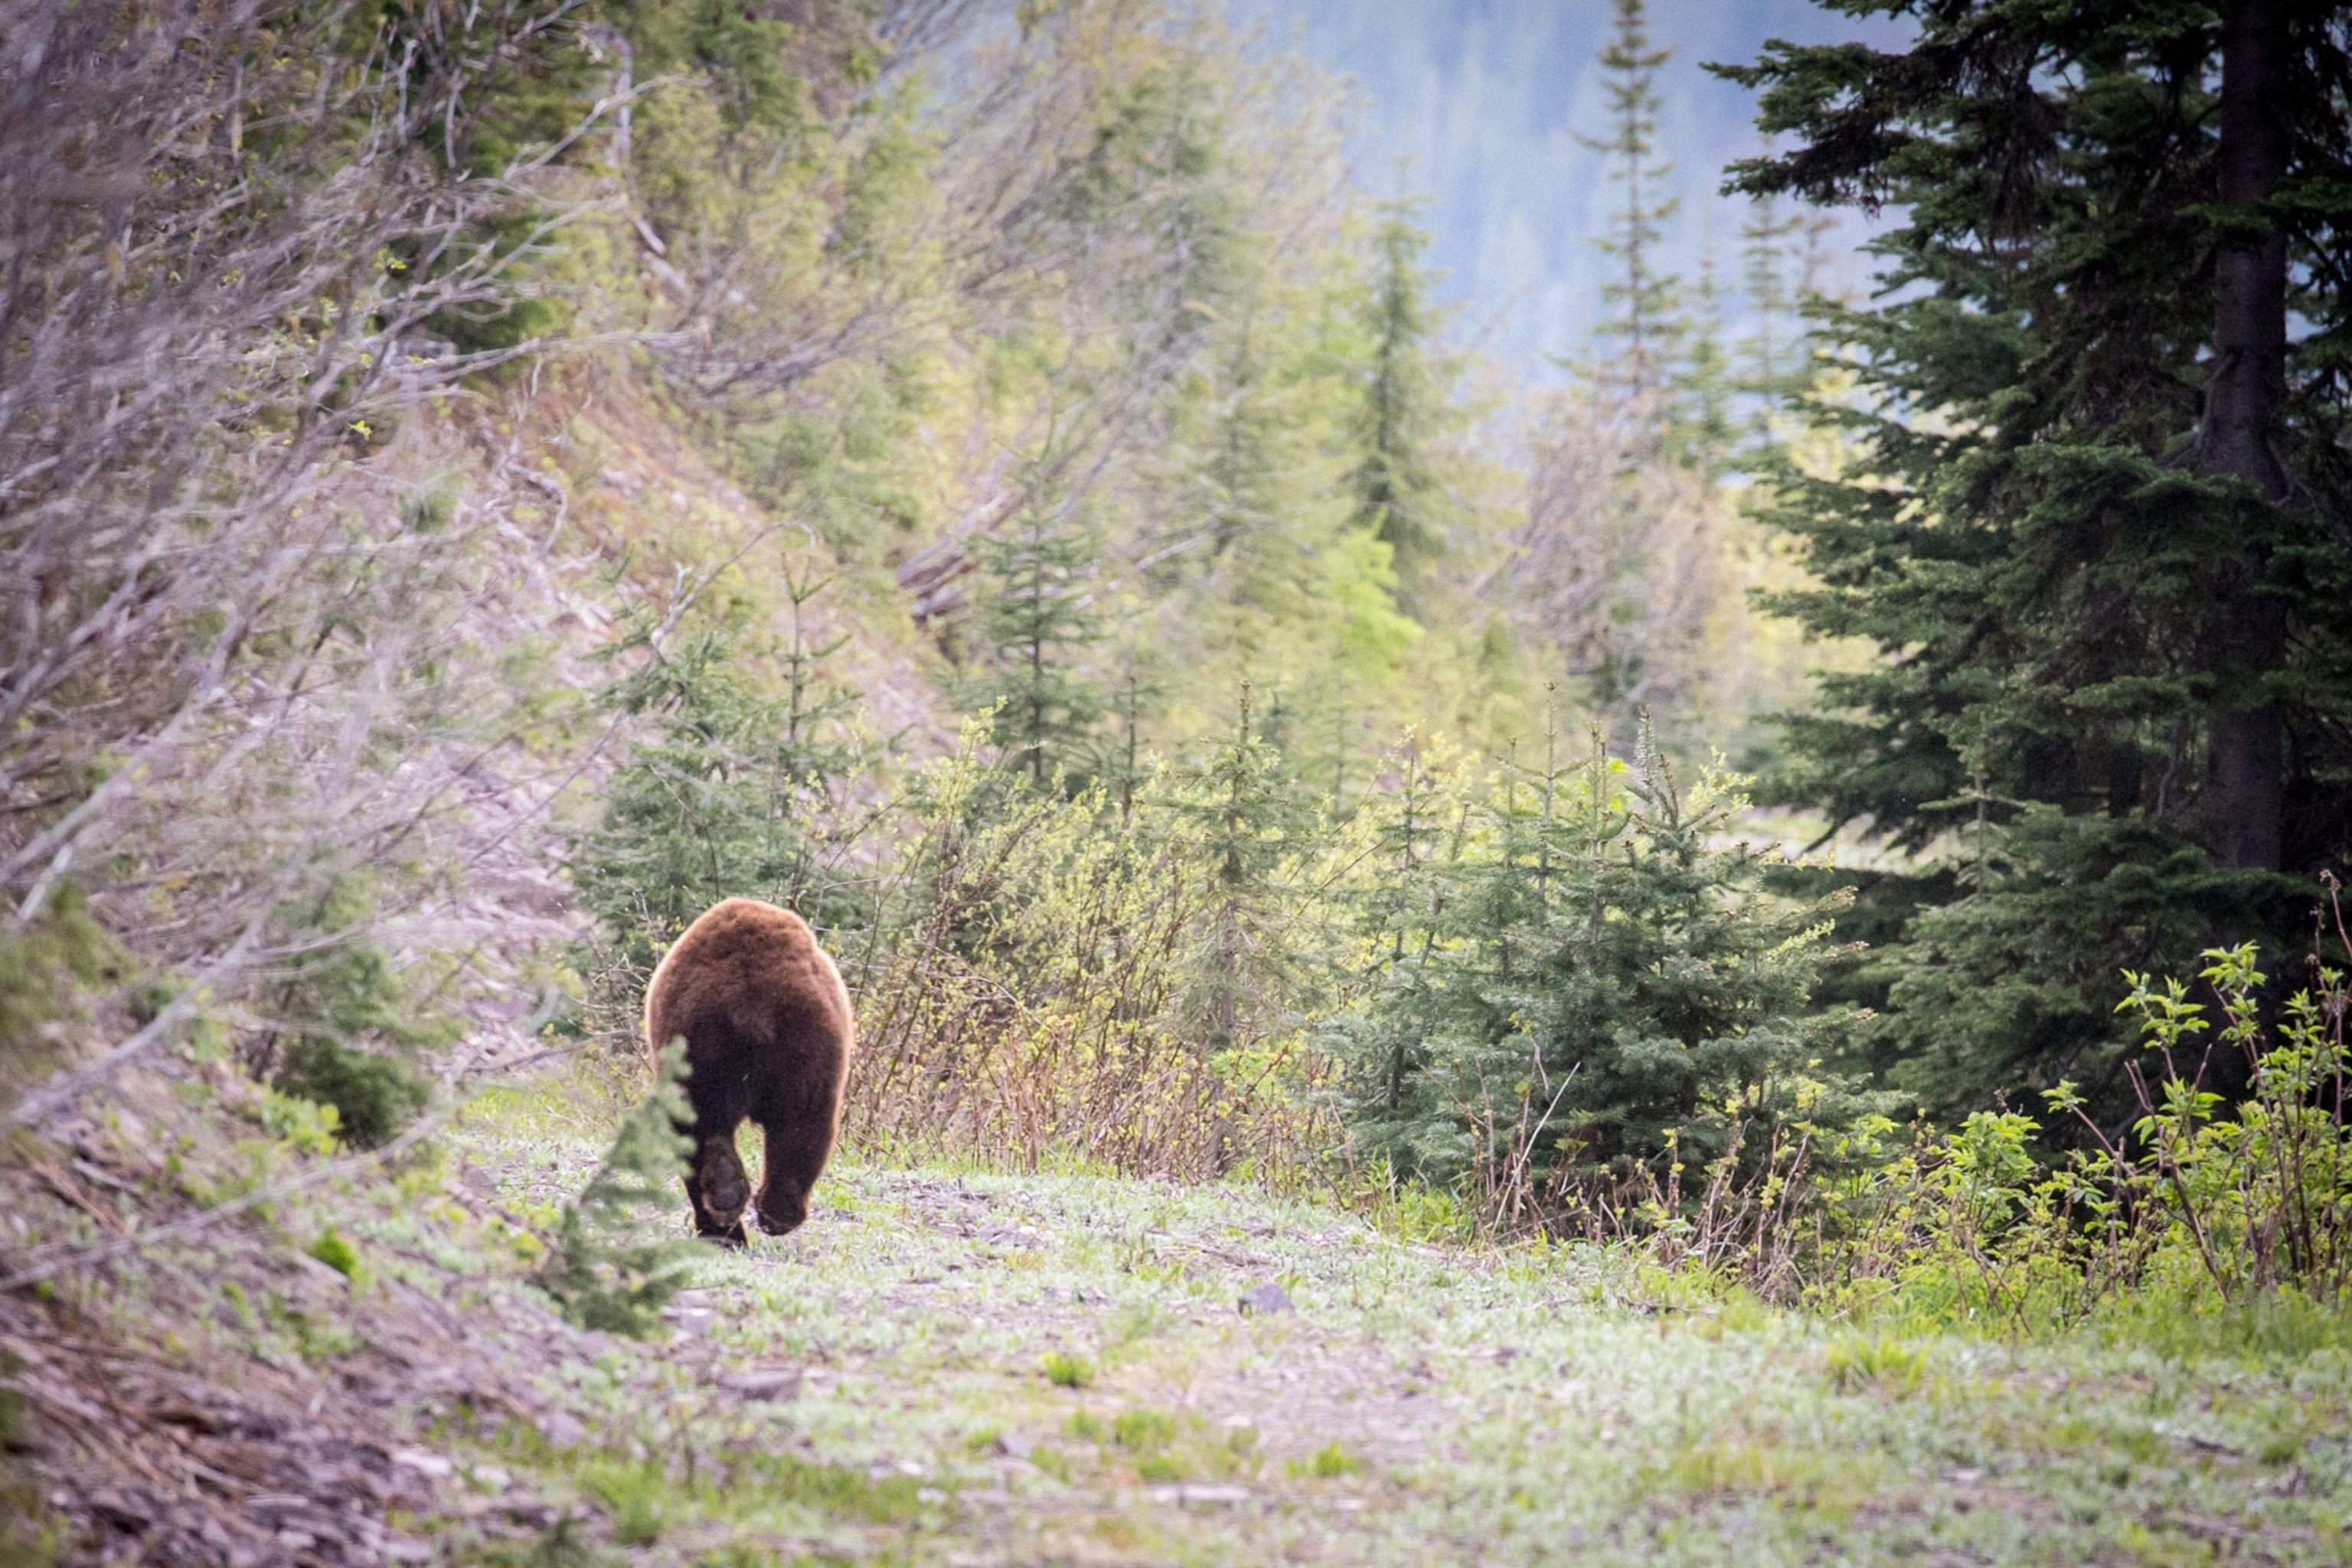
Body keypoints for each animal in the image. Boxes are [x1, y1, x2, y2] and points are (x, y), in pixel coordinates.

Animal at [642, 898, 855, 1245]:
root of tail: (750, 1003)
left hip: (705, 1045)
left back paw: (731, 1216)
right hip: (801, 1046)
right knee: (801, 1124)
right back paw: (750, 1213)